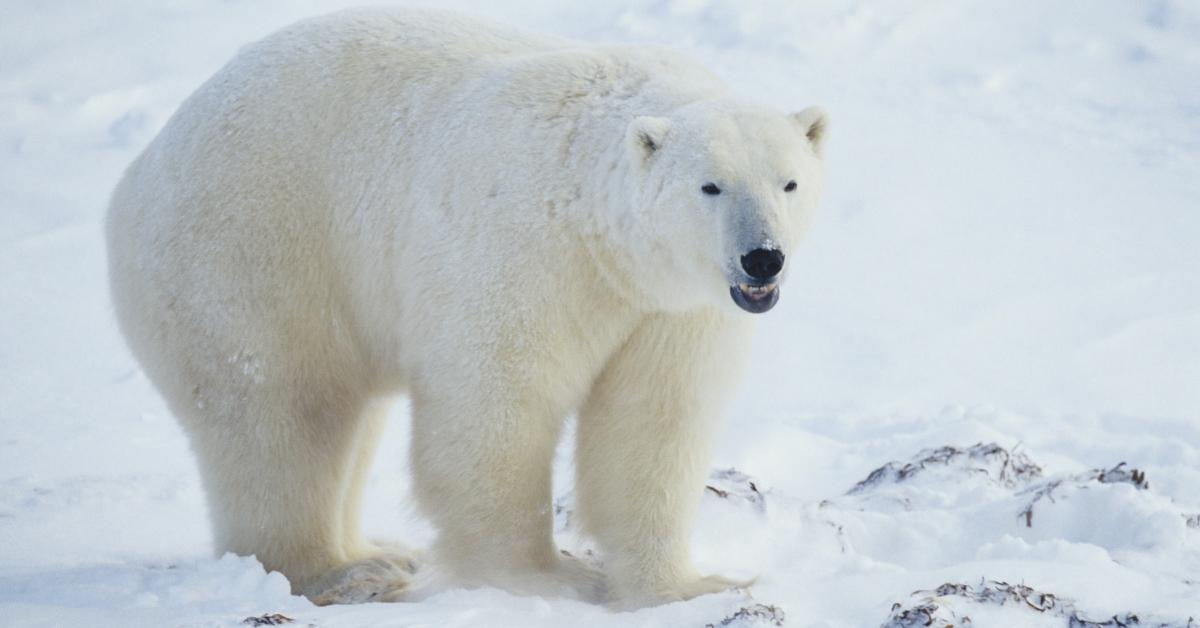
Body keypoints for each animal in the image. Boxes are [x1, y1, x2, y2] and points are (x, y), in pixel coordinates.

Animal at [105, 8, 827, 609]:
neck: (596, 224)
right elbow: (496, 403)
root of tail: (140, 170)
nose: (762, 258)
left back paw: (376, 550)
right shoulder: (526, 248)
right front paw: (543, 578)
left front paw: (685, 587)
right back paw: (339, 572)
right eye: (710, 186)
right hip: (252, 251)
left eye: (789, 182)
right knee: (281, 413)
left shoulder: (671, 308)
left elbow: (653, 420)